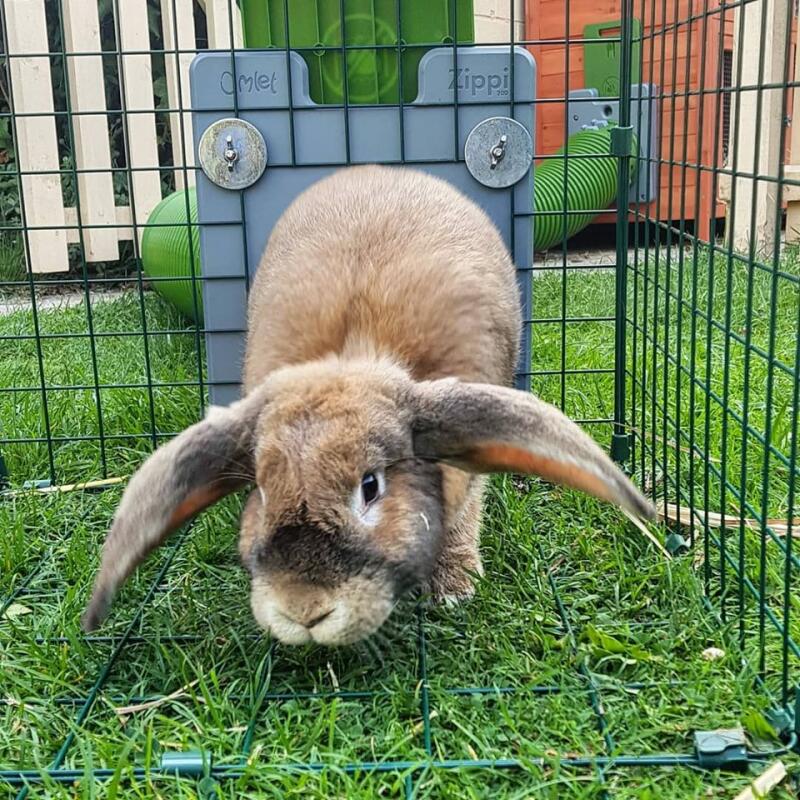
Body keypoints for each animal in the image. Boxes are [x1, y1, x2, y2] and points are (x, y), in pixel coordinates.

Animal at [83, 165, 654, 645]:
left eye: (371, 486)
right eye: (261, 491)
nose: (304, 612)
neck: (356, 350)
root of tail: (385, 170)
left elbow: (465, 513)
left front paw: (455, 587)